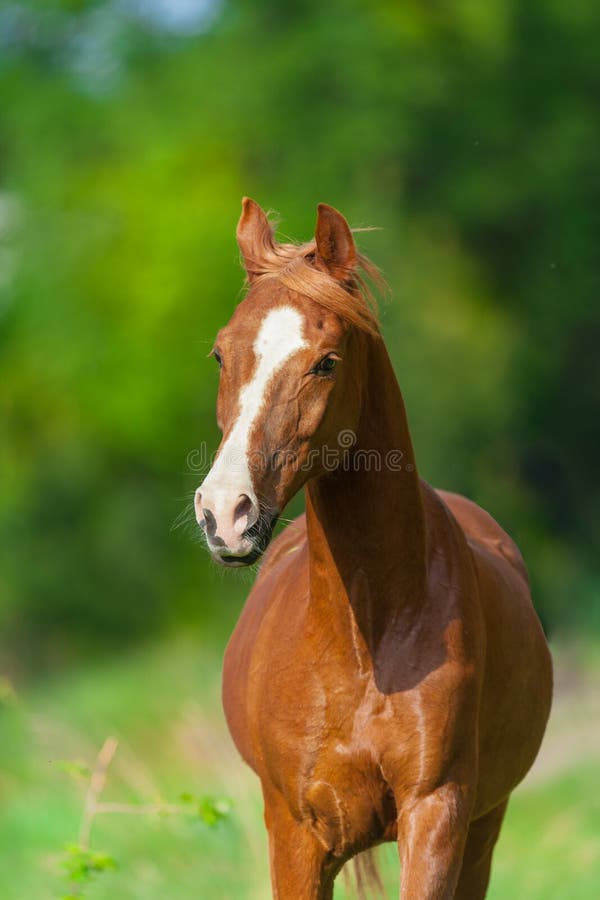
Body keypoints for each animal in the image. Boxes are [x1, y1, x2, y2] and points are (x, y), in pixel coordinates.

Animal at [194, 198, 553, 899]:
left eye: (327, 361)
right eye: (222, 355)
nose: (224, 513)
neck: (362, 644)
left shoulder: (438, 817)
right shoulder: (296, 837)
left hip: (484, 831)